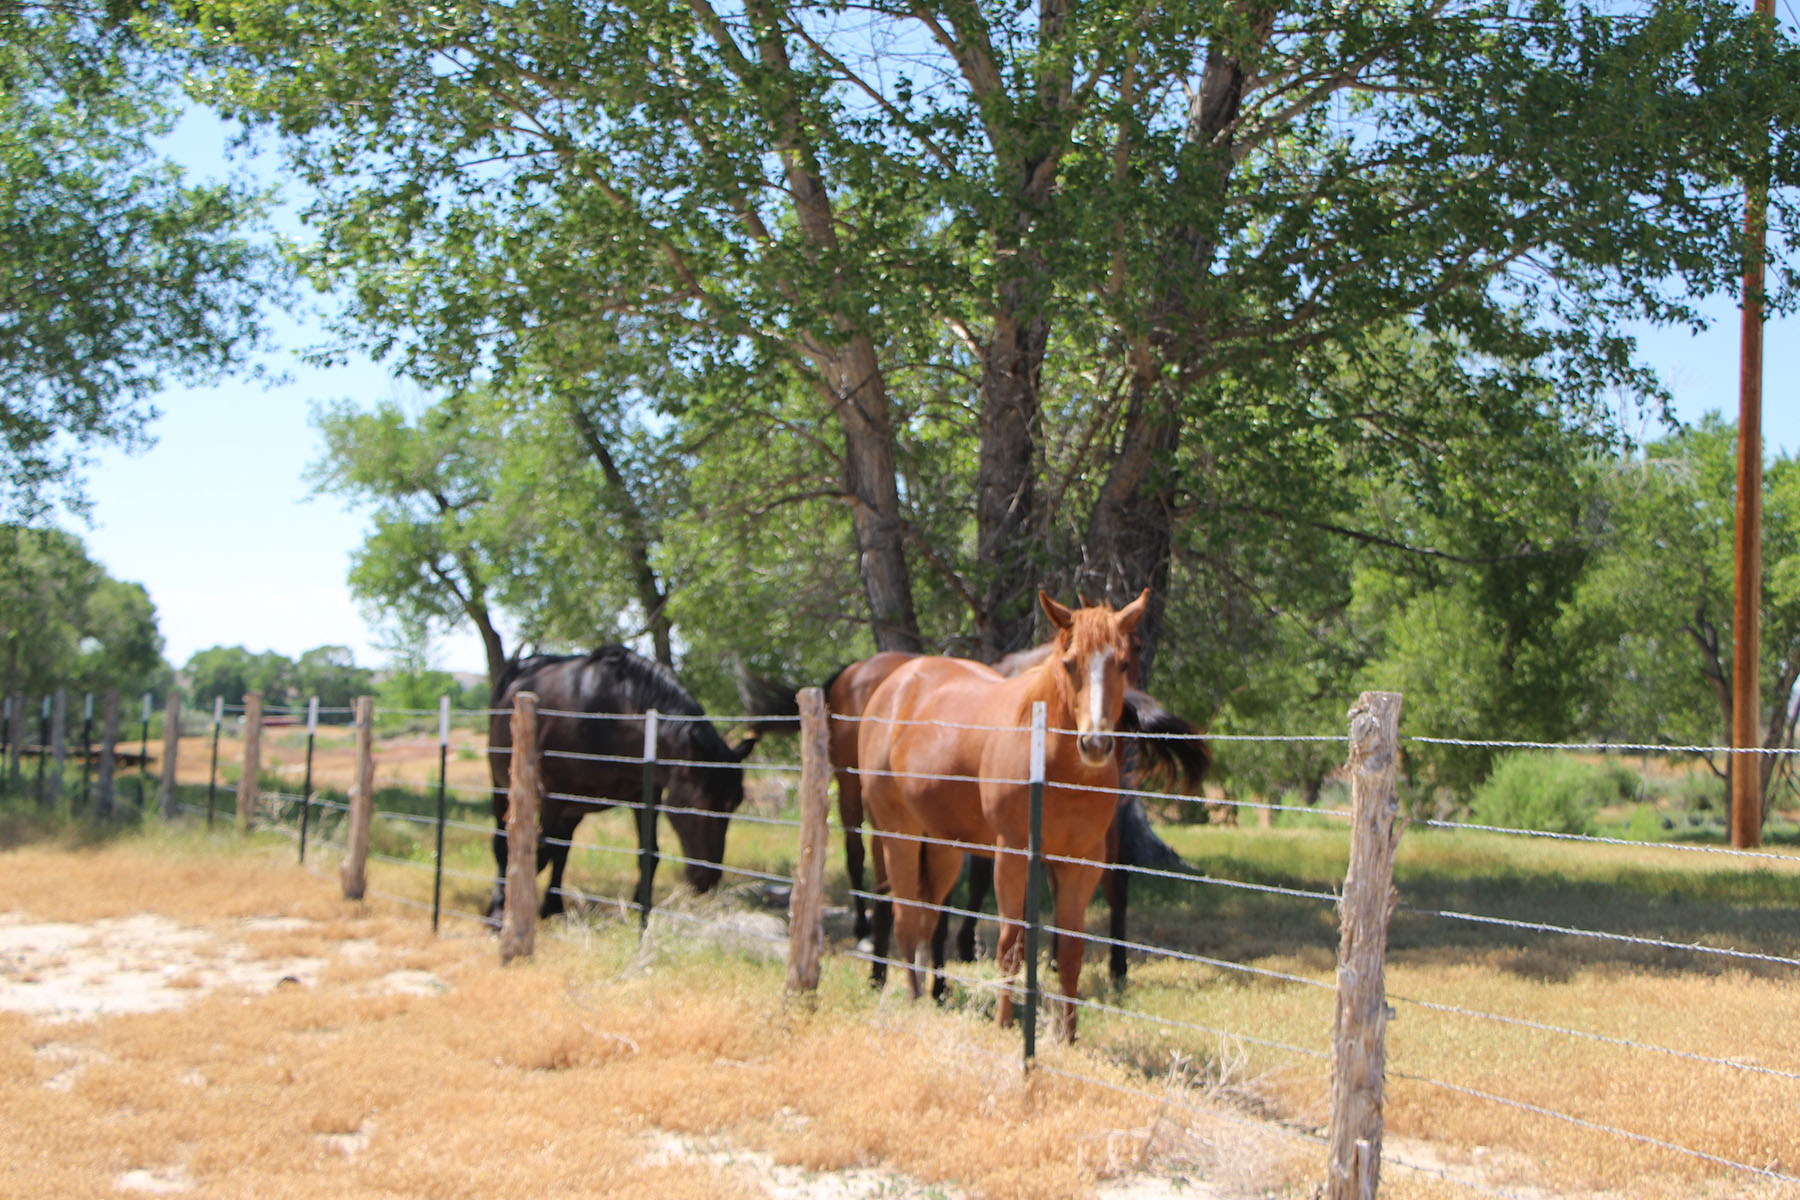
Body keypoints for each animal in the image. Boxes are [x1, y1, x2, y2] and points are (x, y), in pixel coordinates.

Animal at [486, 646, 759, 921]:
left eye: (734, 804)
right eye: (699, 802)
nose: (706, 880)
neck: (607, 717)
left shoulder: (644, 795)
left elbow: (648, 854)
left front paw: (641, 909)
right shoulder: (553, 797)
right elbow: (537, 854)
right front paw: (508, 913)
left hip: (573, 810)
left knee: (562, 849)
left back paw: (554, 907)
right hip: (505, 790)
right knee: (503, 843)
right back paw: (500, 907)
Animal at [857, 589, 1150, 1040]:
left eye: (1121, 662)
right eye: (1069, 663)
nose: (1096, 744)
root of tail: (895, 683)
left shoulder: (1081, 862)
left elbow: (1070, 950)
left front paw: (1069, 1036)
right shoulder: (1012, 856)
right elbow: (1012, 946)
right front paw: (1004, 1022)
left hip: (942, 848)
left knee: (928, 919)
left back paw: (933, 994)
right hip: (898, 836)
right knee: (905, 917)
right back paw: (914, 1000)